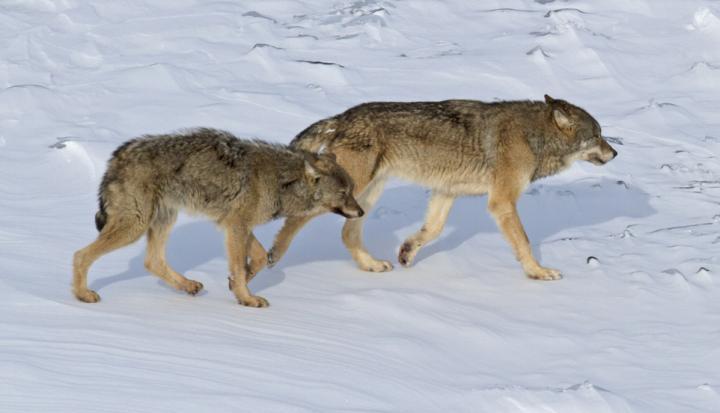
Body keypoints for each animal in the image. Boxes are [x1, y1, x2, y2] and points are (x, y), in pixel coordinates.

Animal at [72, 128, 362, 307]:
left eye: (352, 190)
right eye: (344, 193)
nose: (361, 212)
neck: (281, 182)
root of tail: (117, 156)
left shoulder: (235, 225)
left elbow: (258, 258)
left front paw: (237, 285)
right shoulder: (236, 226)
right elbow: (241, 265)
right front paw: (248, 299)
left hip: (164, 221)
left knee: (152, 262)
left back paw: (188, 286)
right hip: (135, 226)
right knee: (80, 254)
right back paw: (82, 295)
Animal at [268, 95, 617, 280]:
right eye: (598, 135)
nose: (615, 153)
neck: (534, 137)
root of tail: (341, 117)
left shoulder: (447, 192)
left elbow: (431, 230)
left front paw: (407, 252)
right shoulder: (502, 202)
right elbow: (525, 242)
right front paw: (538, 272)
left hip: (365, 196)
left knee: (347, 234)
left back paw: (371, 265)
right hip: (349, 191)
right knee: (297, 218)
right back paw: (273, 255)